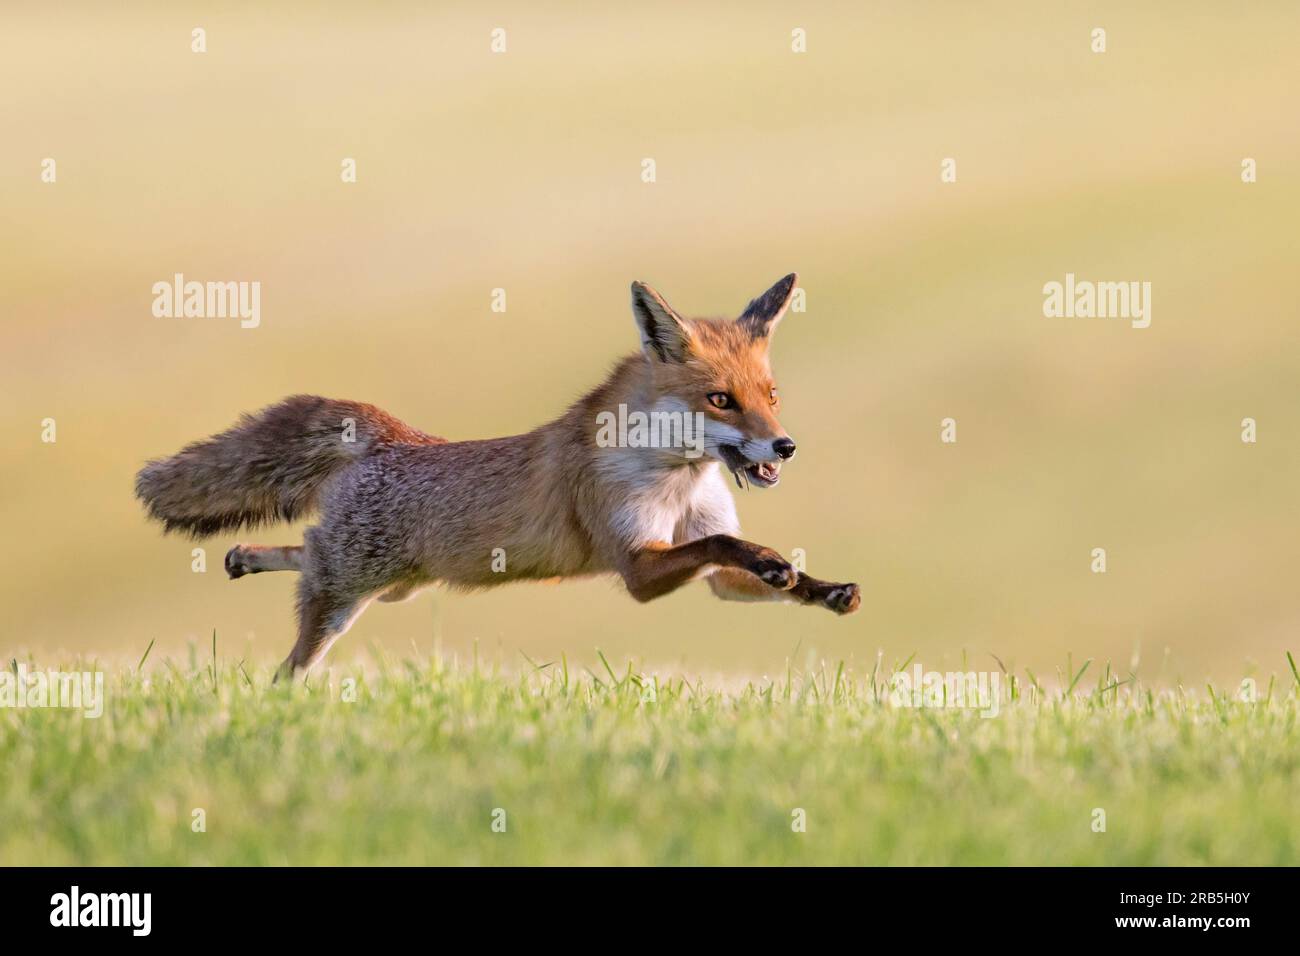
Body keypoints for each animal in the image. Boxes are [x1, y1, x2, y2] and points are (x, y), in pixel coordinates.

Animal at [135, 274, 860, 680]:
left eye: (771, 395)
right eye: (720, 401)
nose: (785, 446)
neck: (676, 482)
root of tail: (389, 435)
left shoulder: (709, 576)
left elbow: (747, 566)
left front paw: (824, 589)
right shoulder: (637, 566)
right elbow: (725, 544)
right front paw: (773, 559)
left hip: (392, 586)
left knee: (300, 549)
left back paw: (241, 555)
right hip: (348, 593)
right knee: (290, 661)